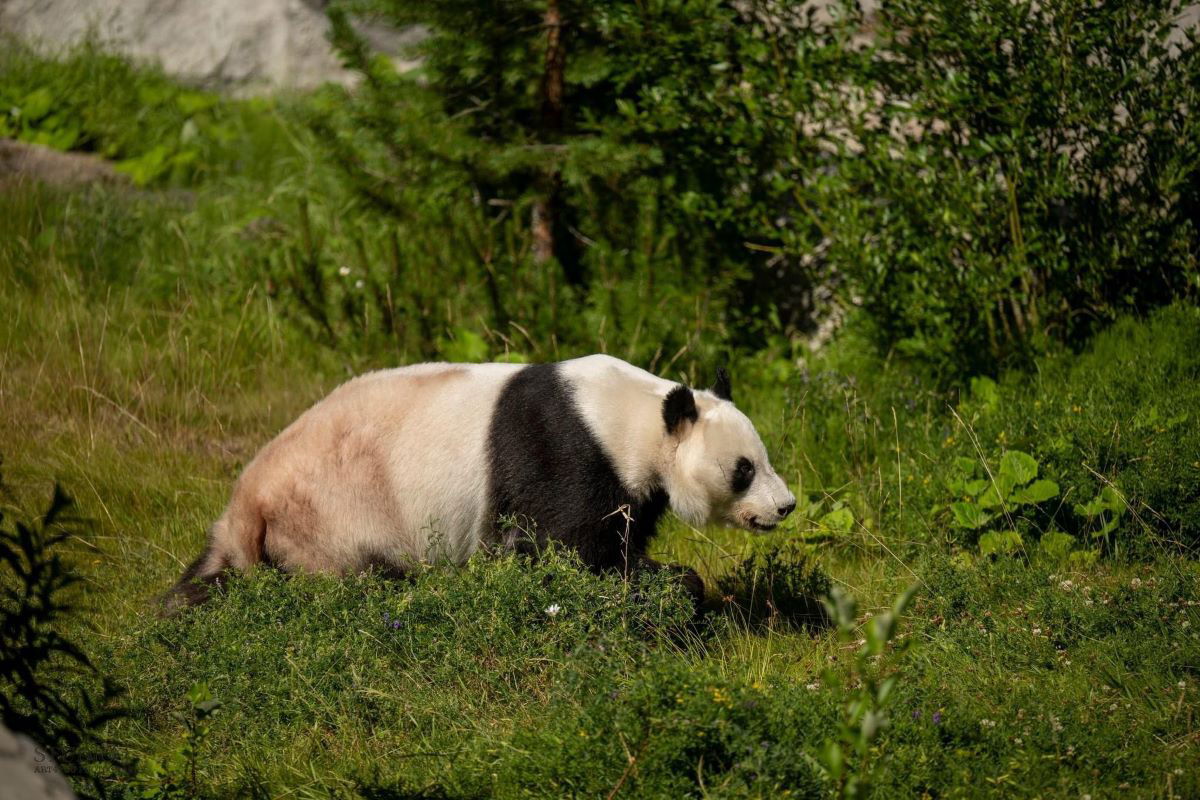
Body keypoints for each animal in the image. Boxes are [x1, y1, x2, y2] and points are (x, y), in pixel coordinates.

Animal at [165, 354, 796, 610]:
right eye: (744, 469)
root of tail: (246, 504)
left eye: (762, 458)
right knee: (362, 575)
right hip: (334, 518)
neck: (629, 416)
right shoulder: (563, 453)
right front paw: (673, 589)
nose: (786, 505)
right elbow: (562, 552)